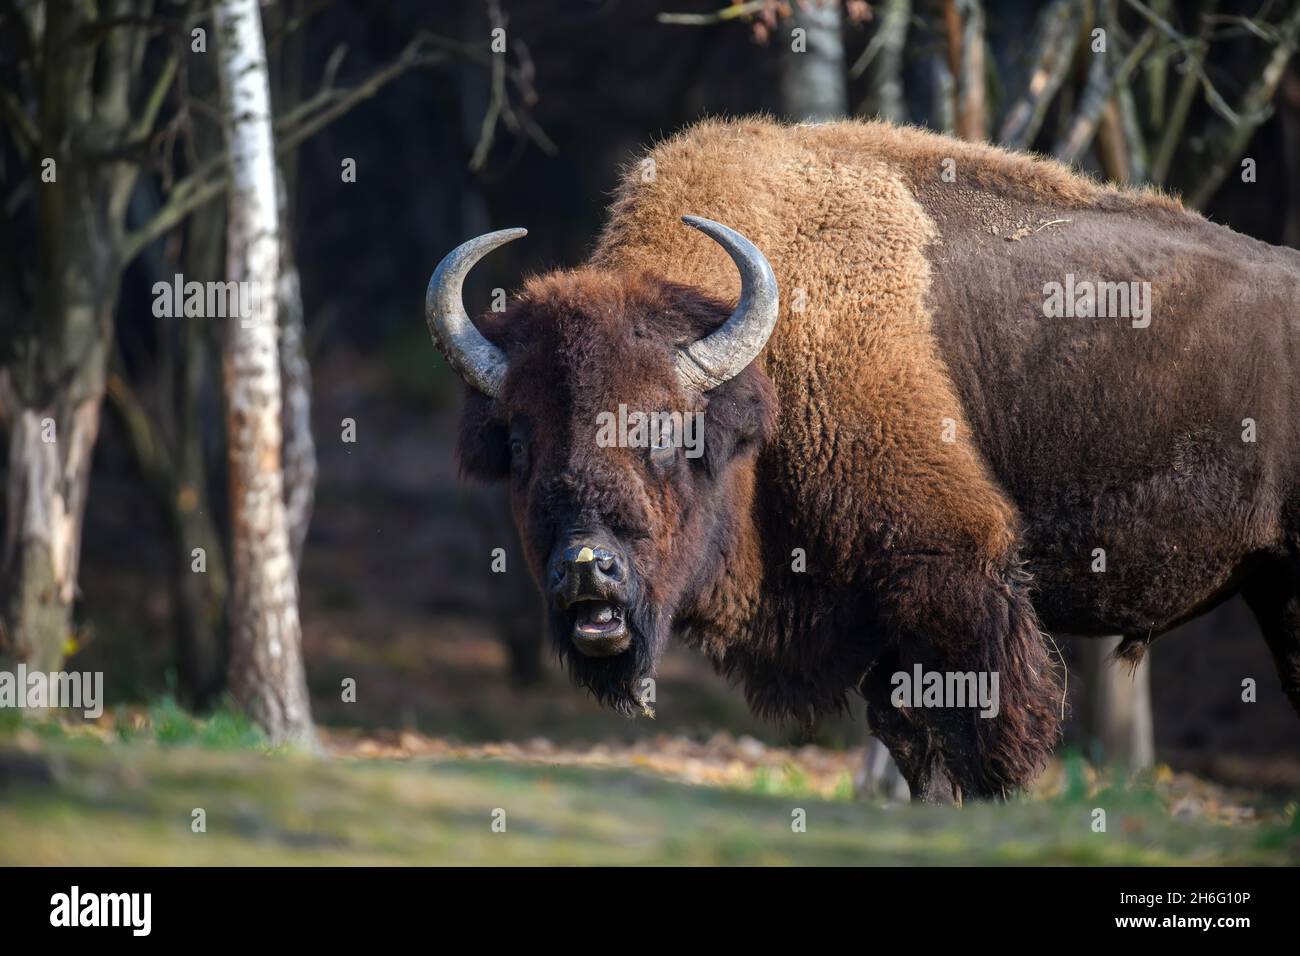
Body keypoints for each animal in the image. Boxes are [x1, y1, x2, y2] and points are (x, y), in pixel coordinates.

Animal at [425, 118, 1300, 802]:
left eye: (671, 433)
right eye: (519, 443)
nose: (587, 569)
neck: (773, 356)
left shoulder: (953, 580)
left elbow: (979, 738)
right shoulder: (881, 625)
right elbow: (913, 744)